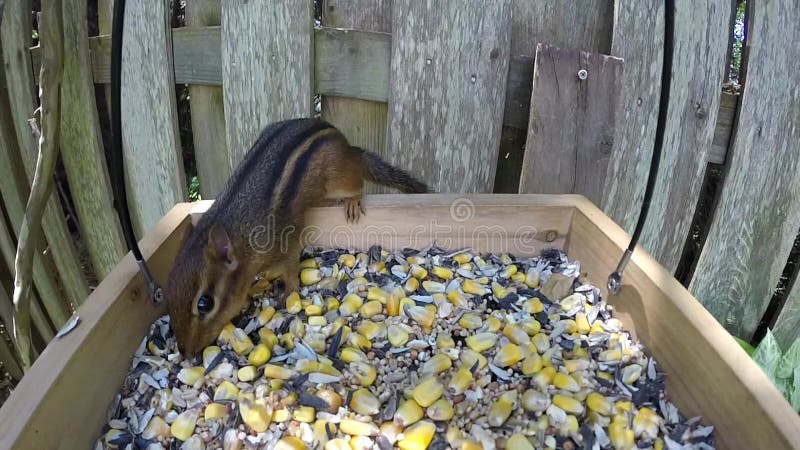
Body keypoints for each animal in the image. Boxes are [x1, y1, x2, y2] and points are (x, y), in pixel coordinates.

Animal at [165, 118, 428, 357]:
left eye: (205, 303)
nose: (186, 353)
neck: (242, 233)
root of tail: (347, 146)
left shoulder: (285, 241)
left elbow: (291, 269)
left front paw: (287, 293)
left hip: (340, 177)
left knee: (356, 184)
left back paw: (352, 200)